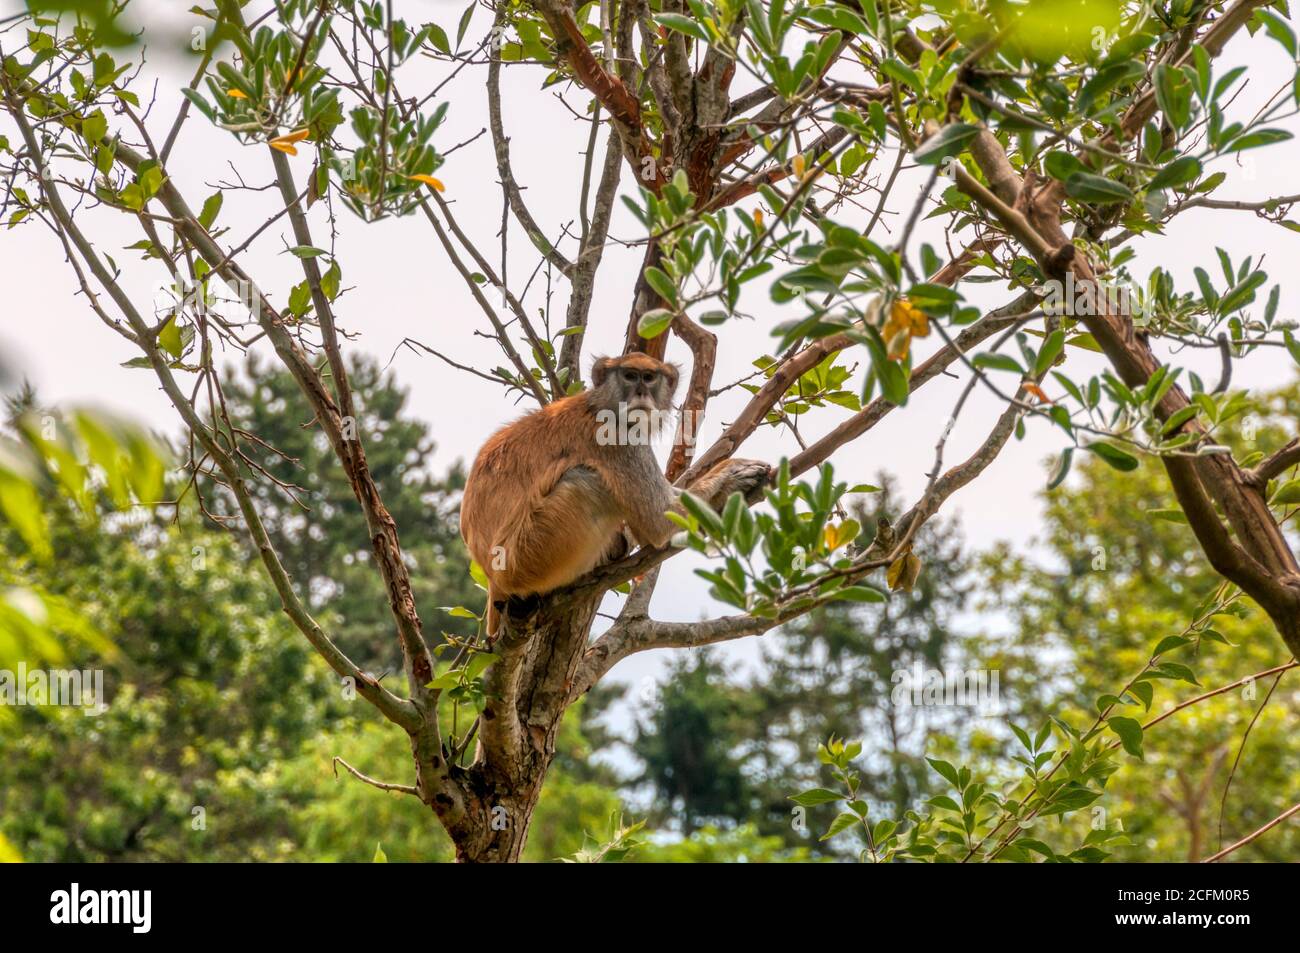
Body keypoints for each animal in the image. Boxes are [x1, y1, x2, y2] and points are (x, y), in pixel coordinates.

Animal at [460, 353, 771, 636]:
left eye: (649, 377)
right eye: (630, 376)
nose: (641, 393)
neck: (598, 404)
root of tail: (493, 578)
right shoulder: (618, 440)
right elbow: (659, 521)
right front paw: (733, 474)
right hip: (531, 556)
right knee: (586, 481)